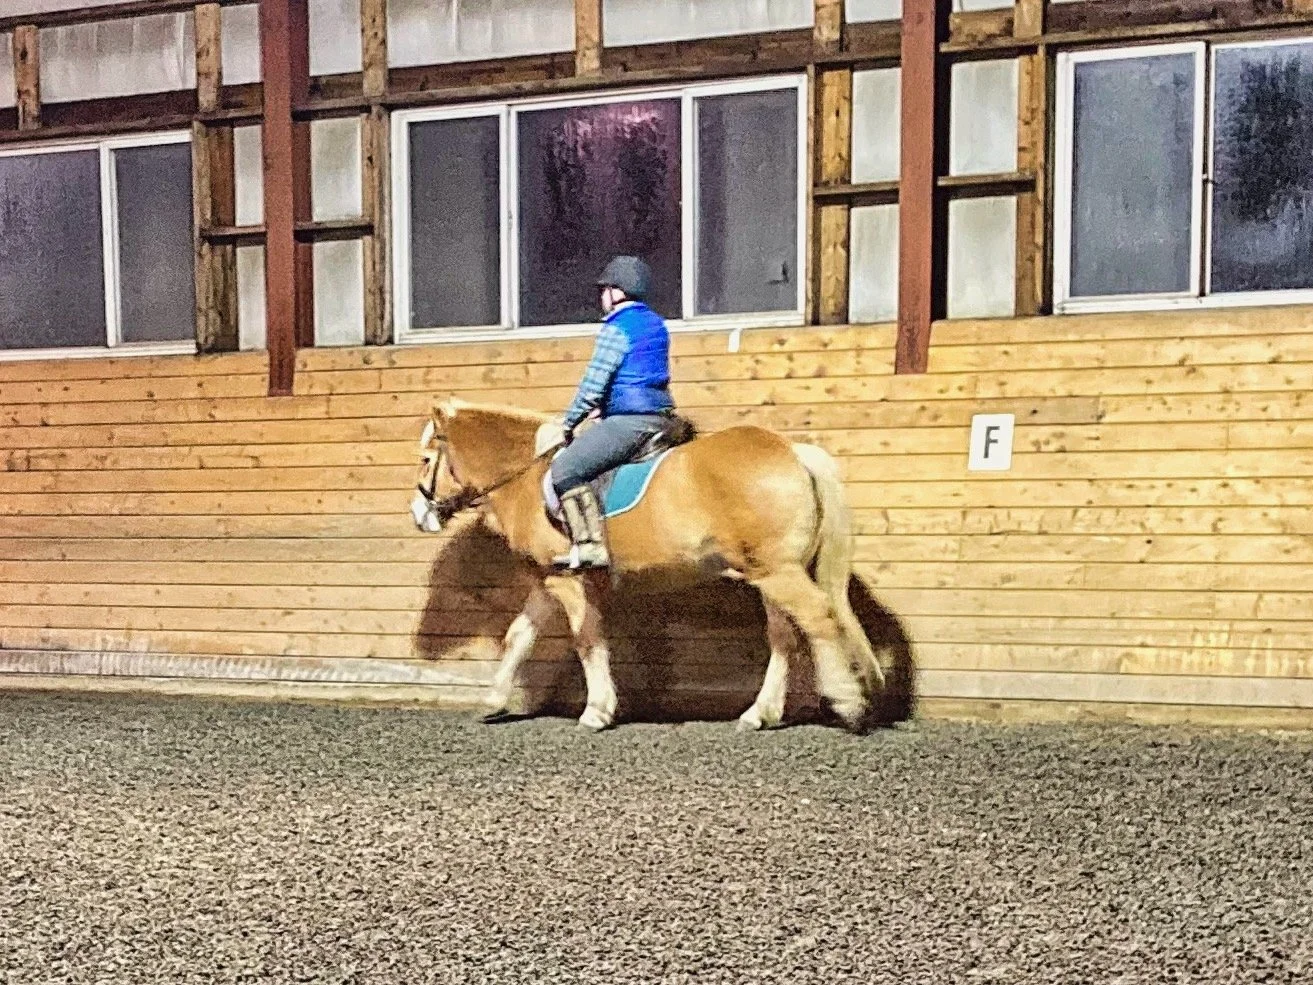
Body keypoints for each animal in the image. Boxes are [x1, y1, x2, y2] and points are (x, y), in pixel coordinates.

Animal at [410, 398, 884, 732]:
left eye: (427, 458)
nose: (419, 515)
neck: (528, 475)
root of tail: (793, 451)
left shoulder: (568, 582)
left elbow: (587, 640)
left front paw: (597, 710)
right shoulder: (547, 581)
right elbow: (518, 637)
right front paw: (493, 700)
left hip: (777, 572)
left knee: (819, 618)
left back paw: (846, 700)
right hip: (769, 574)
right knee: (785, 637)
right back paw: (760, 713)